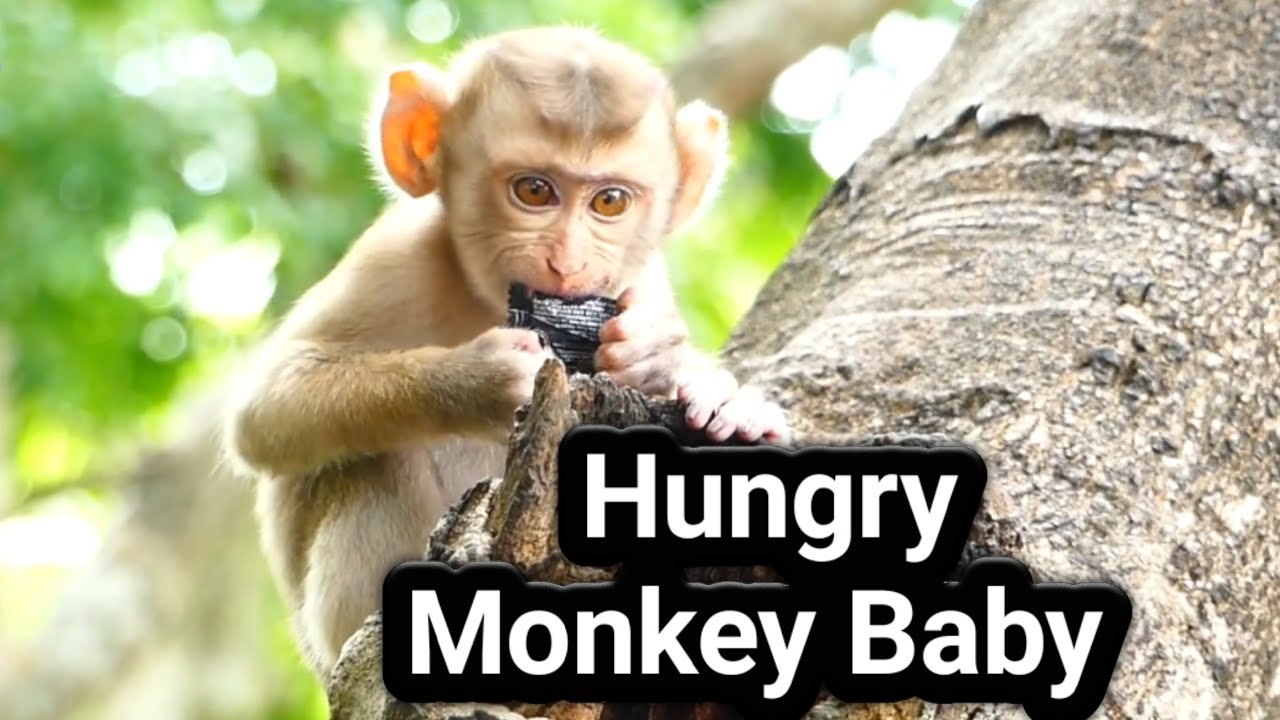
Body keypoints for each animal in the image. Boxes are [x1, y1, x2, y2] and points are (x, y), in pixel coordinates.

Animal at [223, 26, 790, 675]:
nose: (565, 261)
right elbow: (267, 411)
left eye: (610, 202)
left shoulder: (640, 280)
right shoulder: (395, 254)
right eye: (533, 190)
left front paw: (704, 387)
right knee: (379, 459)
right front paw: (484, 380)